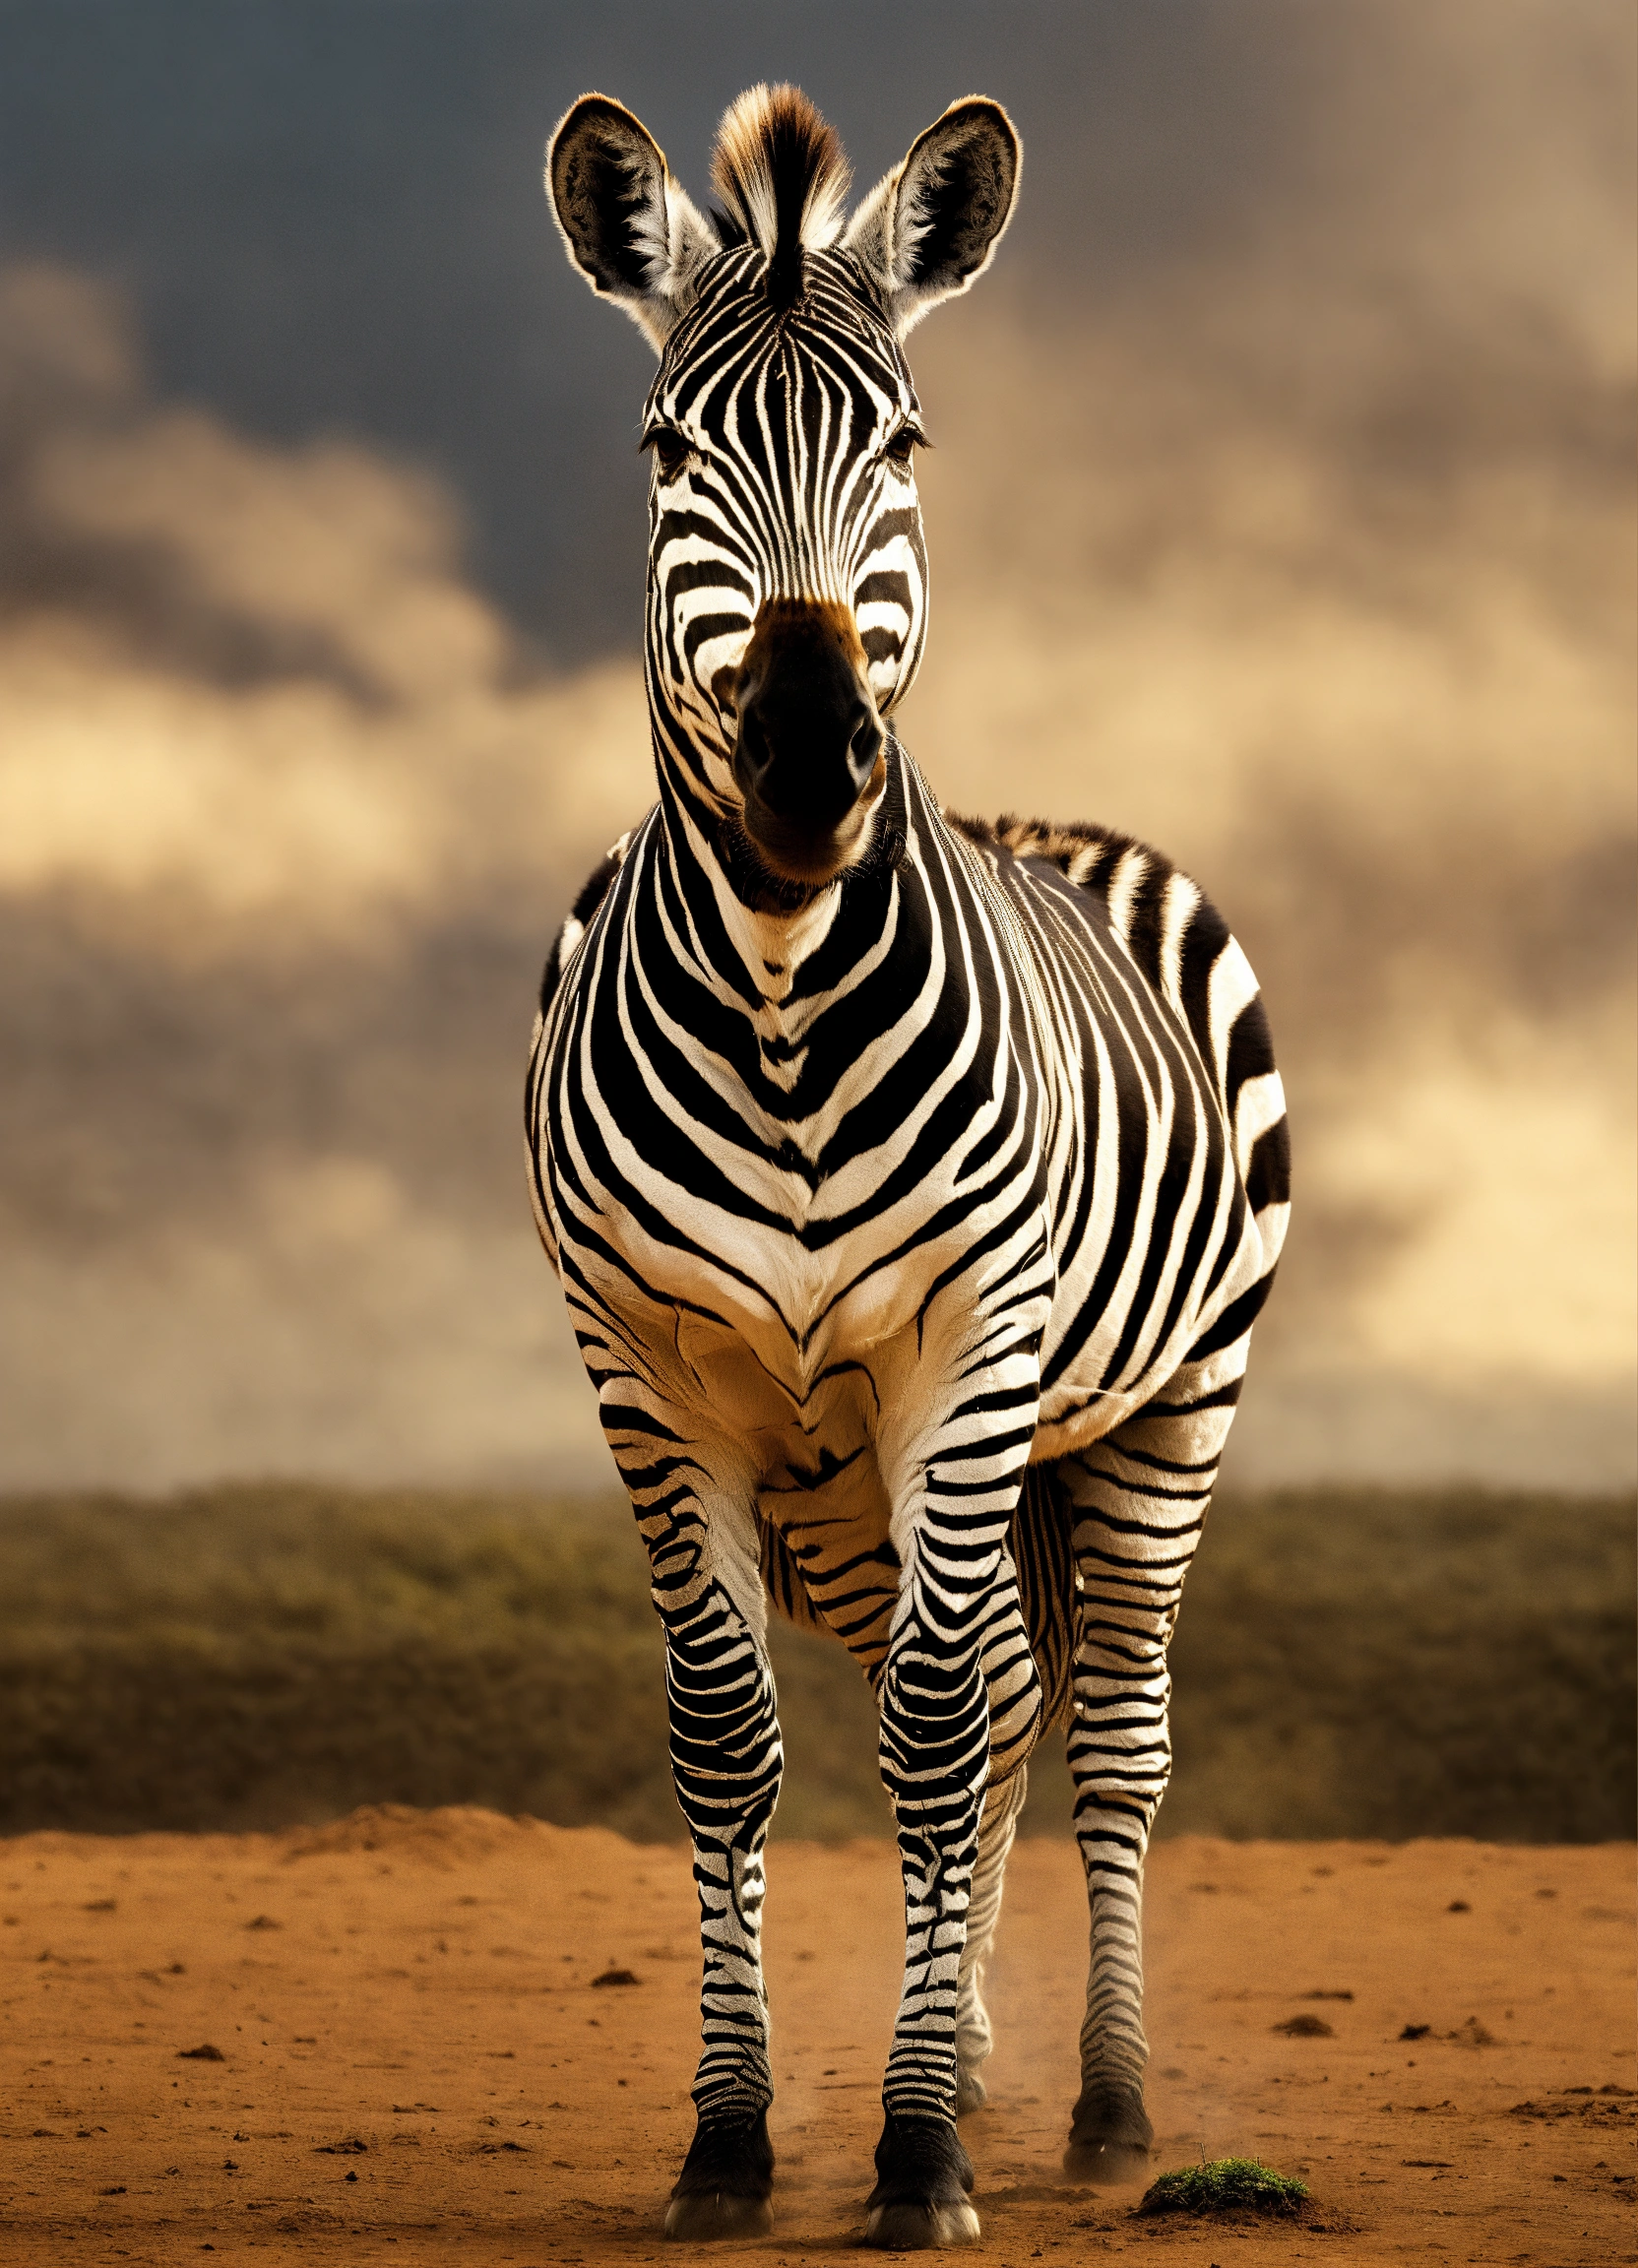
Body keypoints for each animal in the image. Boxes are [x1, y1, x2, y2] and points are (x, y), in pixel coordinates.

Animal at [529, 85, 1289, 2249]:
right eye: (665, 448)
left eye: (904, 444)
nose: (806, 764)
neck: (787, 991)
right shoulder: (646, 1374)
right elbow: (730, 1740)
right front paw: (733, 2140)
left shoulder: (961, 1353)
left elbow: (941, 1736)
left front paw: (918, 2150)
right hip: (855, 1477)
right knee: (1014, 1699)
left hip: (1159, 1404)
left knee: (1100, 1728)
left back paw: (1105, 2110)